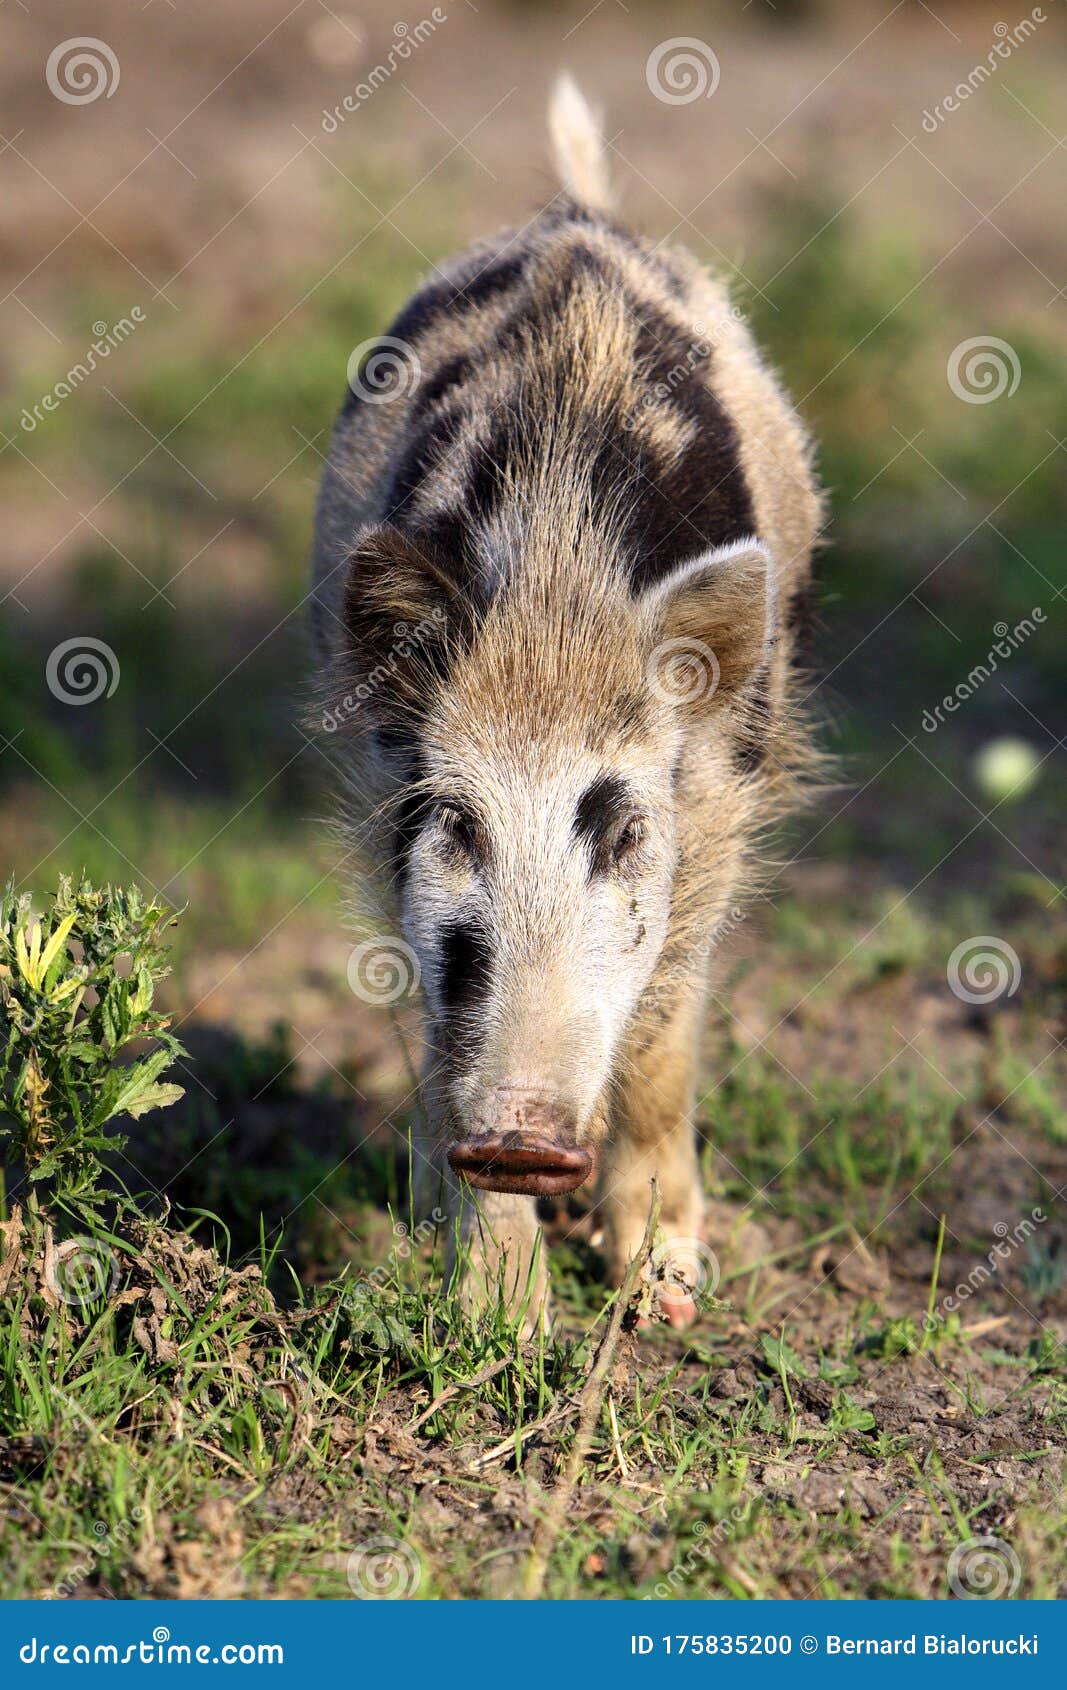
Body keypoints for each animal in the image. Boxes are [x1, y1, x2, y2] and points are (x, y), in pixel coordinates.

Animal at [310, 77, 821, 1328]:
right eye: (455, 821)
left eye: (624, 827)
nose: (523, 1139)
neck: (556, 596)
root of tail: (576, 219)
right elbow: (440, 1026)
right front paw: (497, 1327)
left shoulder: (721, 798)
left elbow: (666, 1022)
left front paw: (663, 1289)